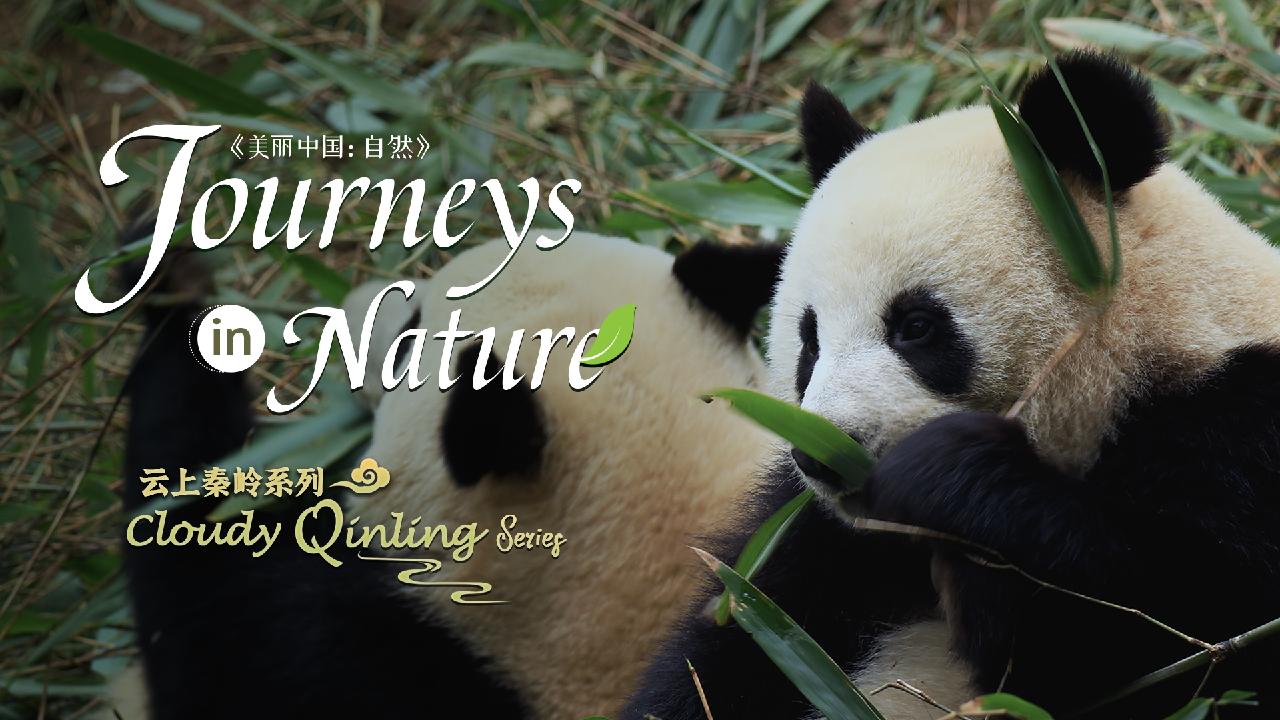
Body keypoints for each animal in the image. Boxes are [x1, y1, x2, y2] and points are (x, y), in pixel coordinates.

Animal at [623, 51, 1280, 720]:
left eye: (916, 326)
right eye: (809, 339)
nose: (826, 455)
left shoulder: (1236, 423)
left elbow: (1180, 634)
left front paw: (944, 478)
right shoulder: (819, 540)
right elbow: (740, 642)